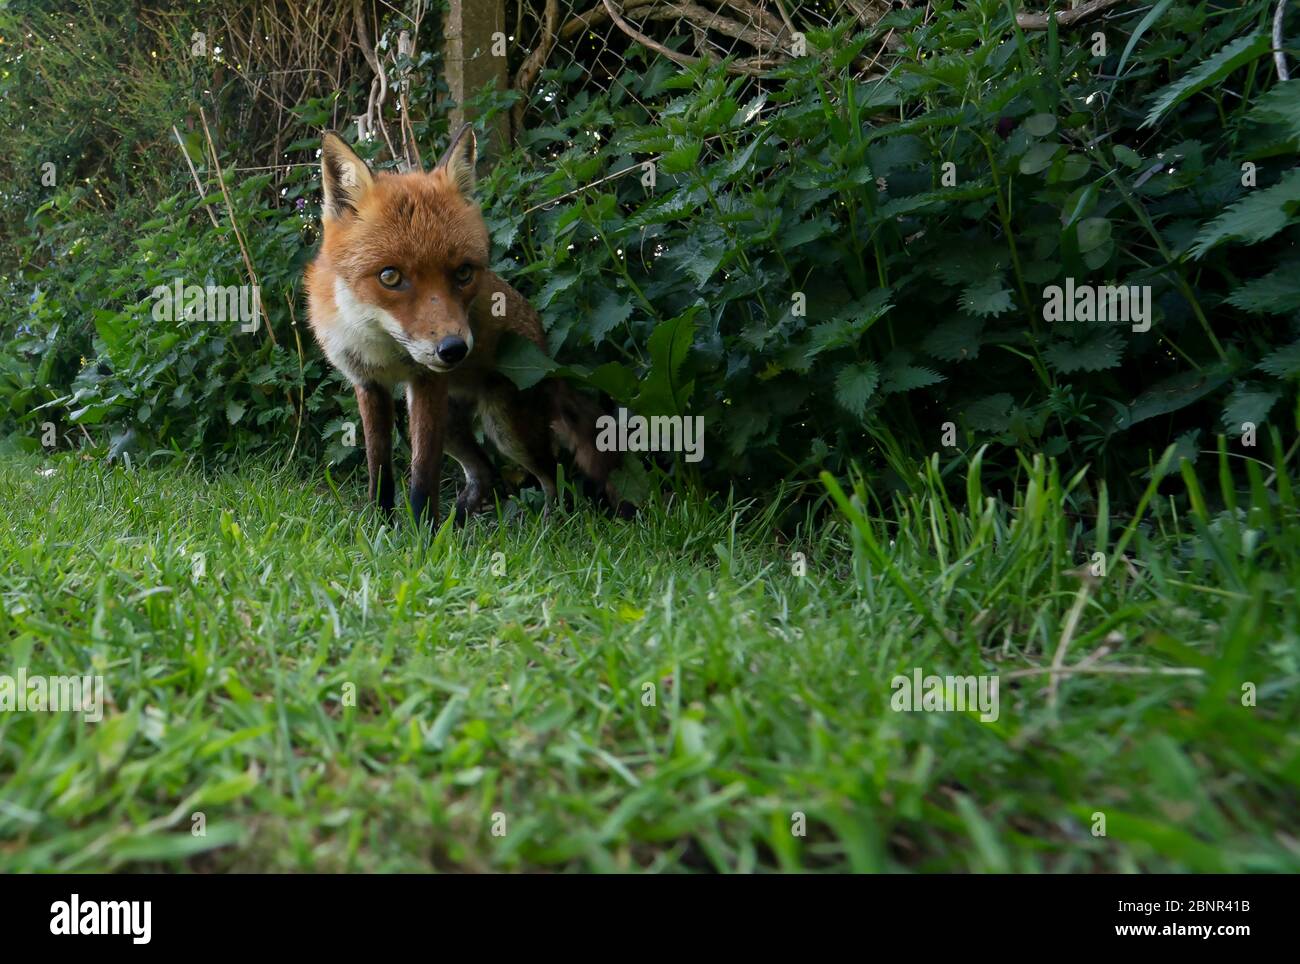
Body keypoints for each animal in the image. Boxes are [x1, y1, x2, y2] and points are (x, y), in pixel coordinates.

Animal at [305, 124, 623, 526]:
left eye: (463, 273)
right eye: (390, 277)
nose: (454, 350)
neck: (383, 344)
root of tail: (546, 353)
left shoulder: (426, 384)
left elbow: (423, 477)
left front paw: (420, 534)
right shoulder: (368, 384)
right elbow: (379, 469)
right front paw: (380, 525)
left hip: (508, 429)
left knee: (554, 476)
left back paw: (548, 524)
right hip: (455, 428)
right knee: (485, 471)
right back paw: (460, 520)